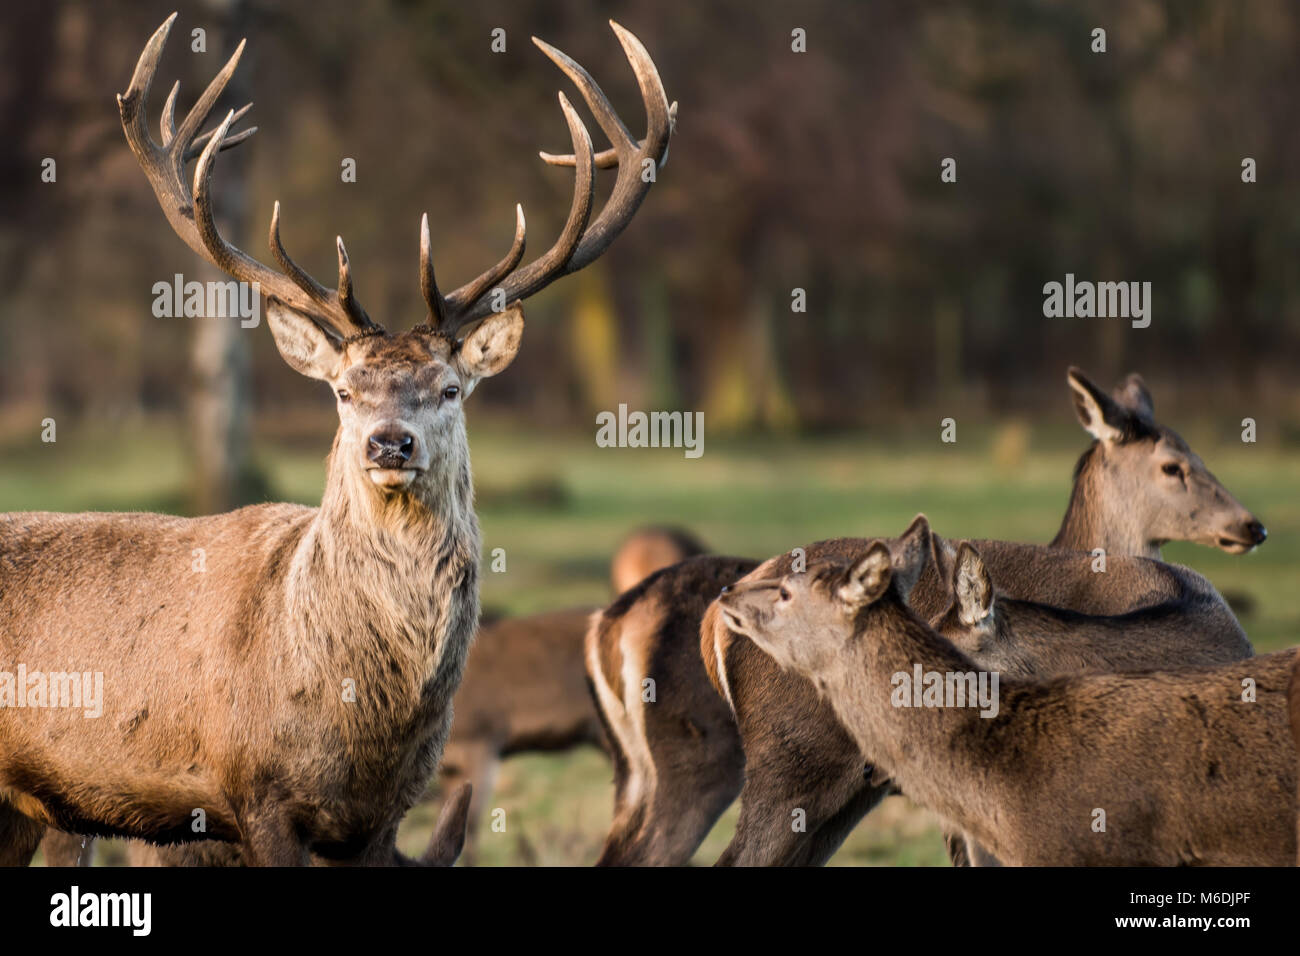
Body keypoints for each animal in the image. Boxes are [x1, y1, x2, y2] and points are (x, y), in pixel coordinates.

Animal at [6, 11, 673, 868]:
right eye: (344, 391)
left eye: (450, 389)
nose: (390, 445)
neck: (360, 720)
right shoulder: (252, 793)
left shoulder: (377, 820)